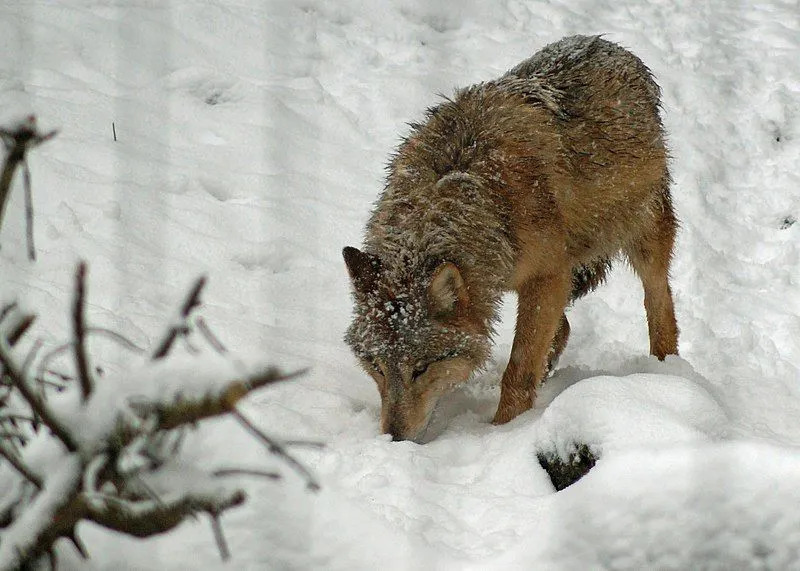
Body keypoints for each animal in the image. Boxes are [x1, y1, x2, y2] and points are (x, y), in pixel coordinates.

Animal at [344, 35, 680, 444]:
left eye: (421, 368)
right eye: (375, 365)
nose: (393, 438)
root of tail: (611, 46)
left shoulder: (547, 275)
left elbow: (517, 372)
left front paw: (503, 432)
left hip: (643, 234)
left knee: (659, 304)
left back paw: (665, 375)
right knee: (563, 329)